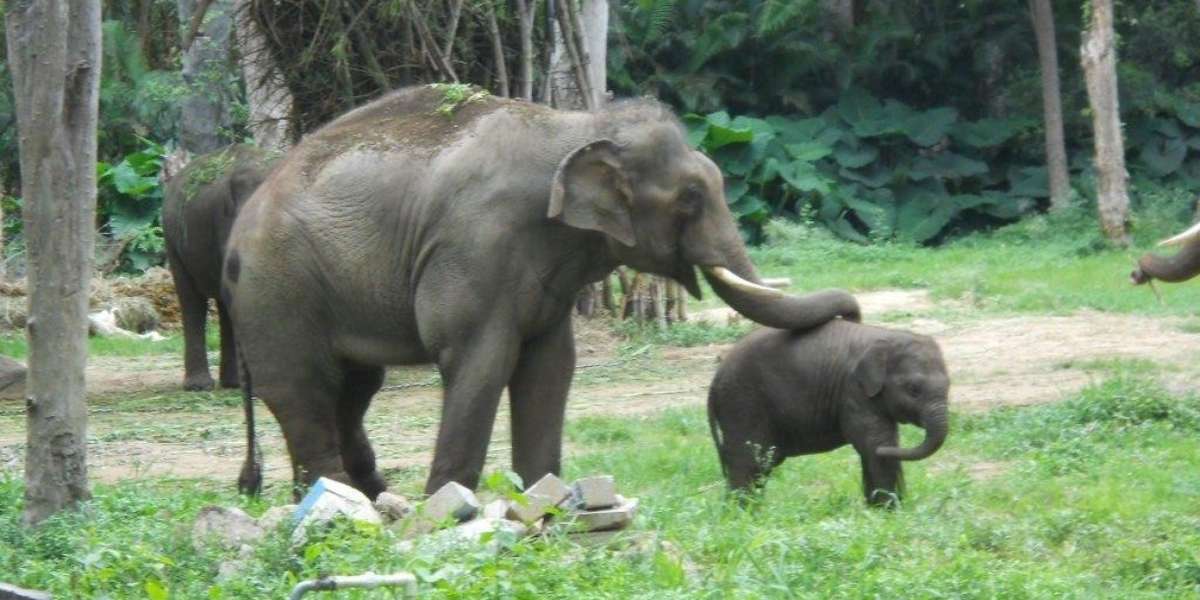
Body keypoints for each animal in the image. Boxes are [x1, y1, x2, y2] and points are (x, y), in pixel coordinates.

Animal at [226, 83, 864, 496]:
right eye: (689, 198)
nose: (854, 315)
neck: (576, 126)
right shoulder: (475, 248)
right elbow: (480, 361)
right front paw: (449, 511)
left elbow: (551, 367)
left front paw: (547, 500)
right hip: (276, 289)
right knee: (304, 388)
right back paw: (334, 505)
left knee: (353, 389)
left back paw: (371, 498)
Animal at [705, 319, 950, 506]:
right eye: (914, 390)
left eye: (949, 385)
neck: (887, 337)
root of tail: (714, 380)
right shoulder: (854, 392)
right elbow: (874, 444)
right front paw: (889, 510)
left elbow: (873, 449)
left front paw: (878, 508)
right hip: (741, 403)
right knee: (749, 462)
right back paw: (743, 512)